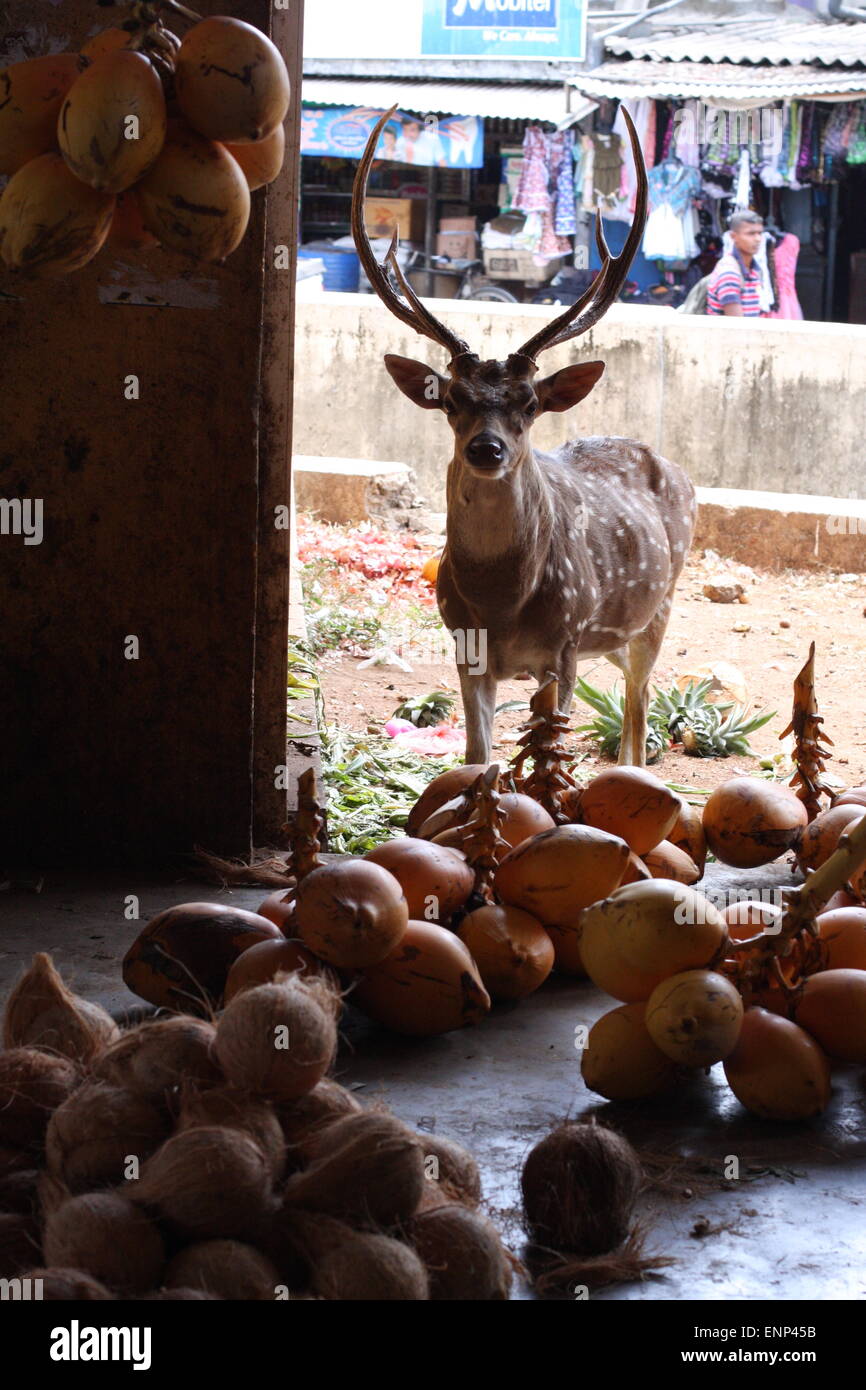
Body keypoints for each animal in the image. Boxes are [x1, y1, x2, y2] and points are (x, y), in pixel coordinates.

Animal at [351, 106, 696, 767]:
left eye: (531, 403)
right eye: (451, 401)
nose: (486, 449)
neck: (501, 604)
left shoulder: (564, 644)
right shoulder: (465, 647)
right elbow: (477, 757)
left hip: (659, 606)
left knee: (639, 712)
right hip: (614, 632)